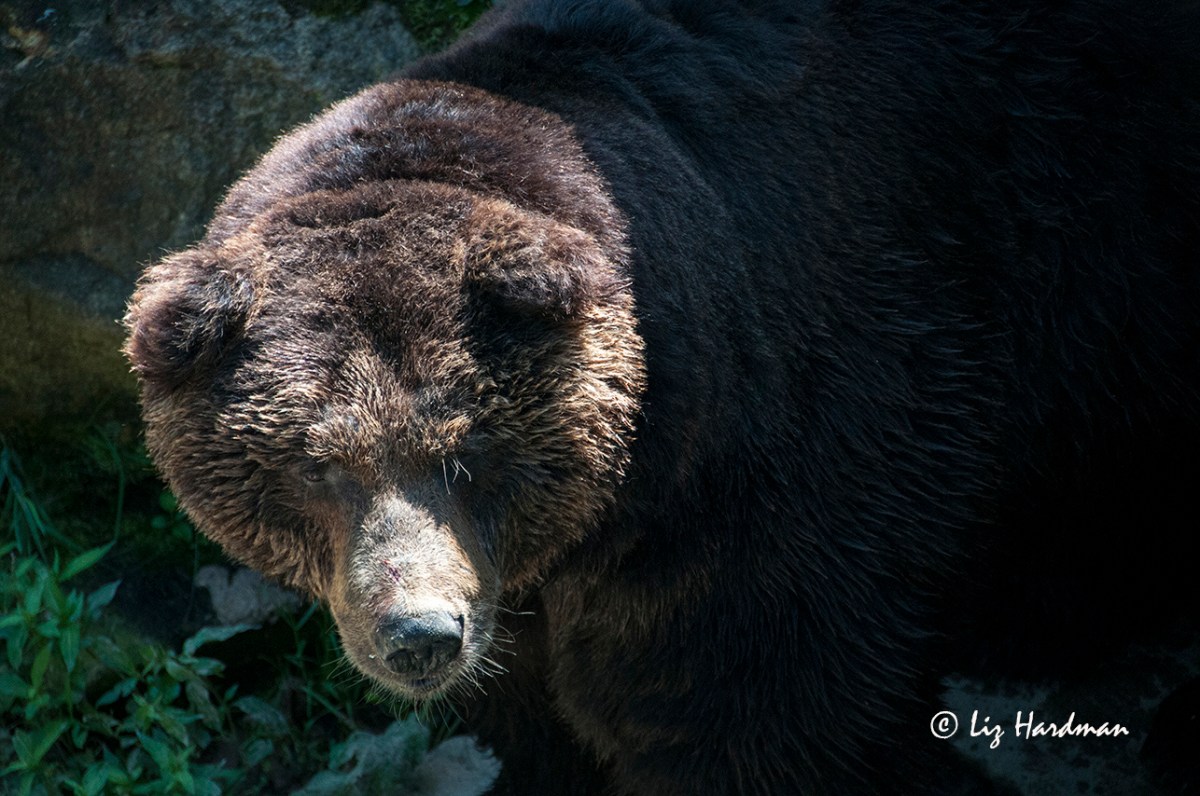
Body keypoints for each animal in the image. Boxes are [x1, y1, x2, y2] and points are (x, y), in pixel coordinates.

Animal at [124, 0, 1200, 793]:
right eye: (317, 464)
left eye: (466, 450)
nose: (421, 635)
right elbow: (531, 721)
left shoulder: (816, 426)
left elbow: (751, 707)